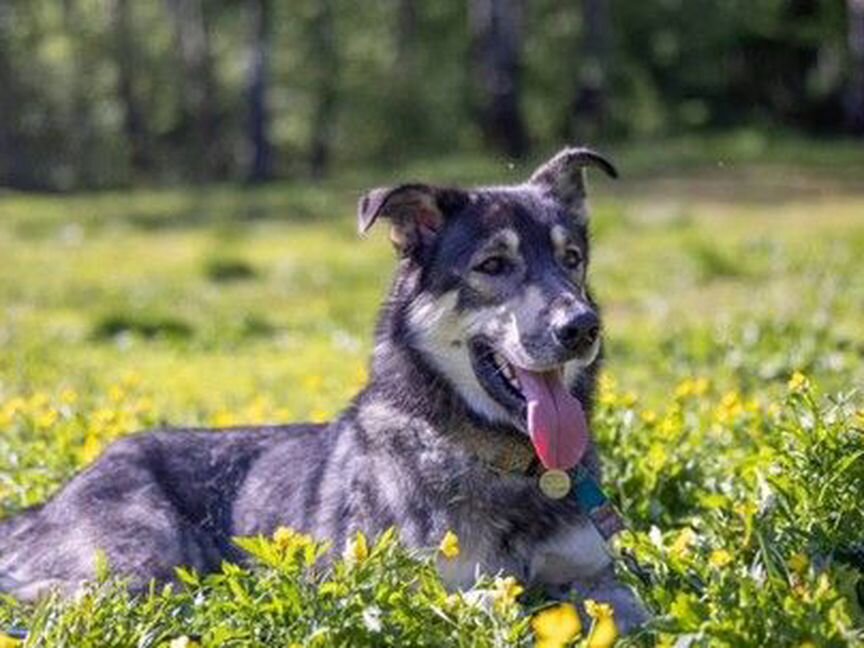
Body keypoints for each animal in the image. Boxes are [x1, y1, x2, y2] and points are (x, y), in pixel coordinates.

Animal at [0, 149, 648, 632]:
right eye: (492, 265)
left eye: (571, 259)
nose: (582, 327)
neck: (499, 458)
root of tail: (46, 504)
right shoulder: (389, 582)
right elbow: (490, 599)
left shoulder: (600, 577)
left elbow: (633, 608)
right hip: (142, 566)